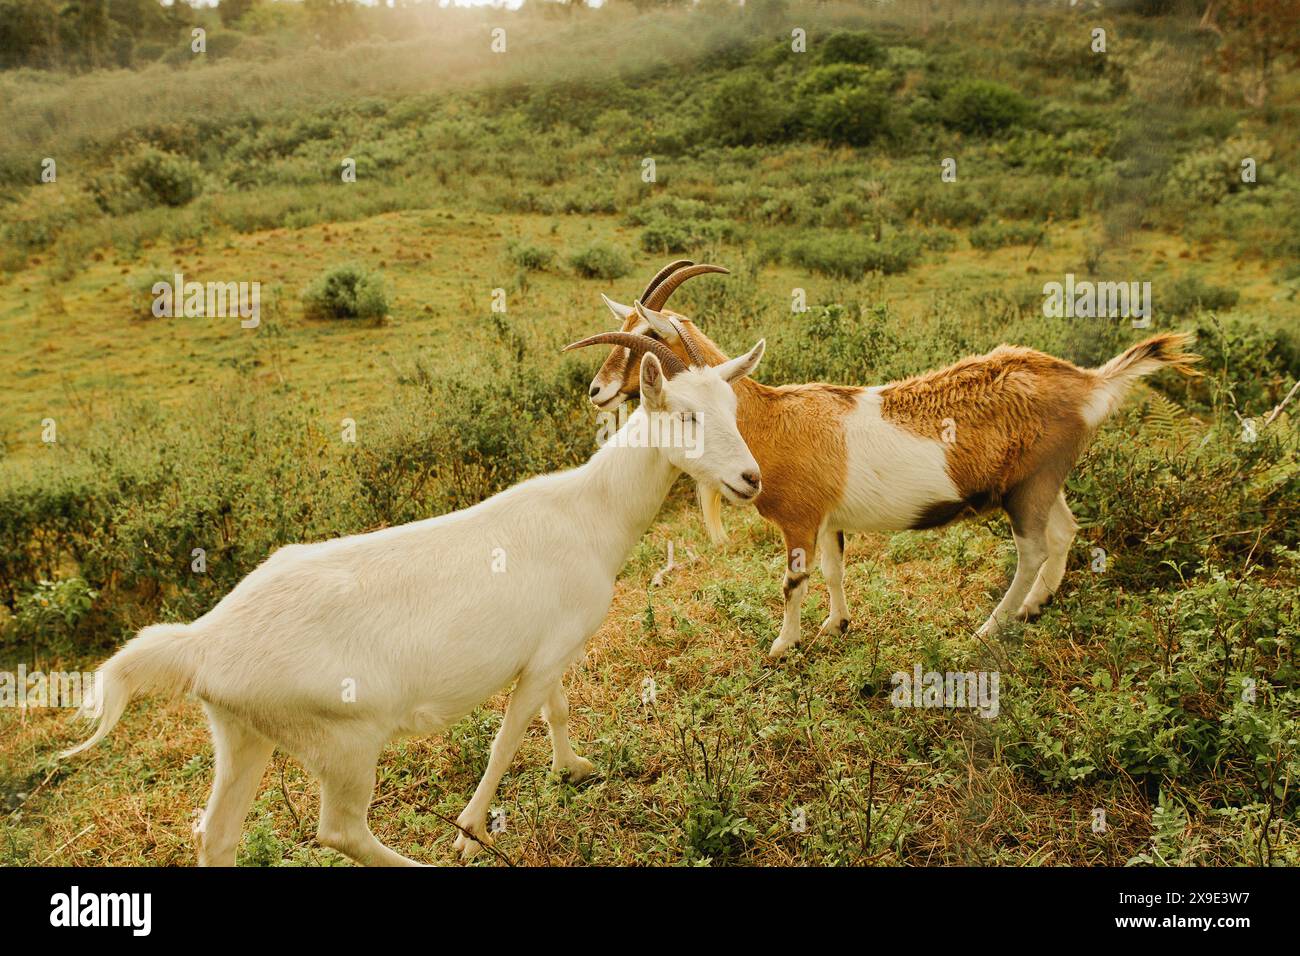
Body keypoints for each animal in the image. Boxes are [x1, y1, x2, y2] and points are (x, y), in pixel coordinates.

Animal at [62, 337, 767, 865]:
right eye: (686, 415)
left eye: (732, 406)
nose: (751, 479)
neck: (587, 509)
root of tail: (202, 642)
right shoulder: (542, 659)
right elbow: (507, 739)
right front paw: (469, 834)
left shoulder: (550, 650)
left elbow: (557, 712)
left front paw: (575, 770)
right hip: (343, 742)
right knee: (340, 830)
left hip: (242, 736)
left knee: (217, 835)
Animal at [580, 261, 1201, 658]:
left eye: (639, 341)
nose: (596, 391)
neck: (771, 417)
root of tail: (1089, 383)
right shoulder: (827, 520)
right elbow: (834, 569)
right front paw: (836, 625)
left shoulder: (799, 520)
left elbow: (792, 582)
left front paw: (783, 646)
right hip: (1046, 481)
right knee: (1066, 531)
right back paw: (1034, 608)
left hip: (1026, 490)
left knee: (1033, 550)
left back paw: (989, 629)